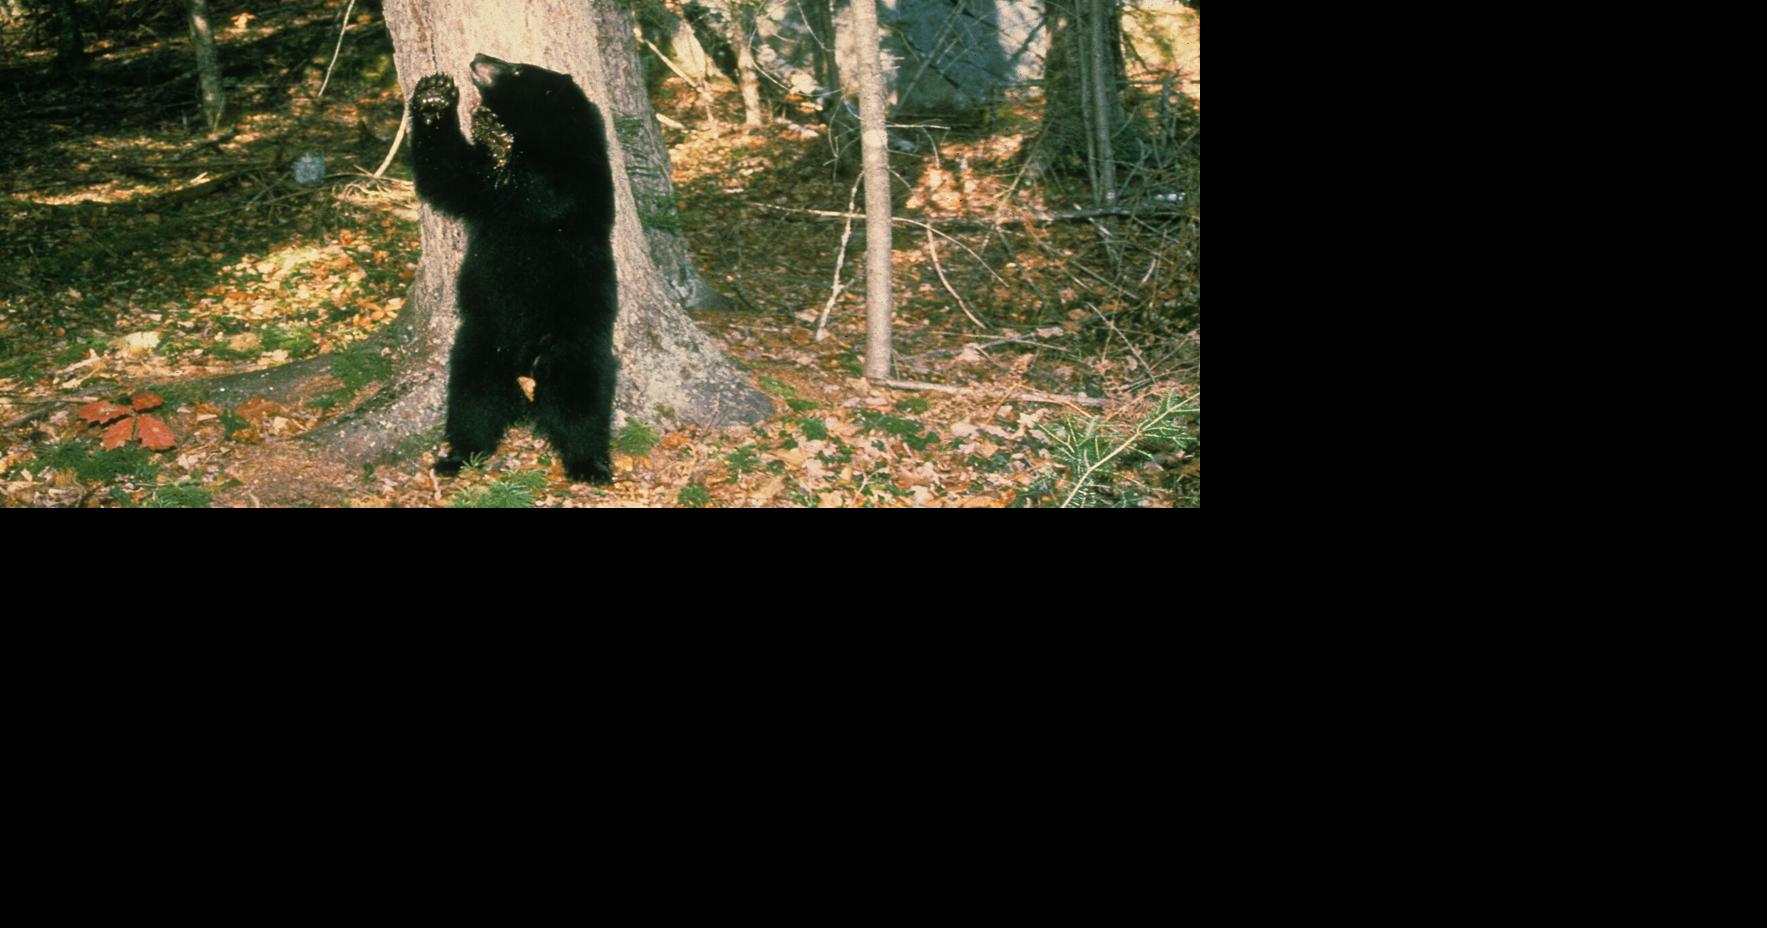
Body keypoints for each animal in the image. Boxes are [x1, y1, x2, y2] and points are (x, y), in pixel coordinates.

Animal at [408, 54, 619, 484]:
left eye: (519, 69)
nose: (479, 58)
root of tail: (524, 377)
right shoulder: (482, 189)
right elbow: (450, 173)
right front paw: (435, 97)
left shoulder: (581, 176)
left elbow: (548, 195)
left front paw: (497, 134)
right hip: (480, 346)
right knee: (472, 403)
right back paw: (456, 456)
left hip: (572, 343)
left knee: (581, 403)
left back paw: (589, 464)